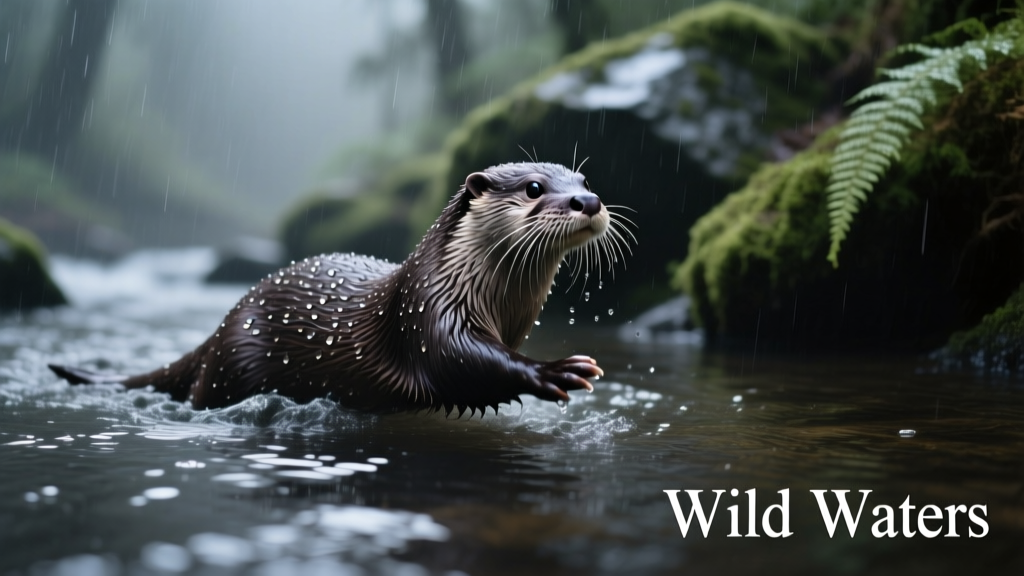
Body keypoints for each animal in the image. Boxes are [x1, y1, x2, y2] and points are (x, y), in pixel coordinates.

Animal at [49, 162, 633, 415]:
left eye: (584, 181)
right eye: (534, 188)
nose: (589, 201)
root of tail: (219, 326)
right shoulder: (426, 314)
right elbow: (462, 364)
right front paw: (554, 369)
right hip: (231, 366)